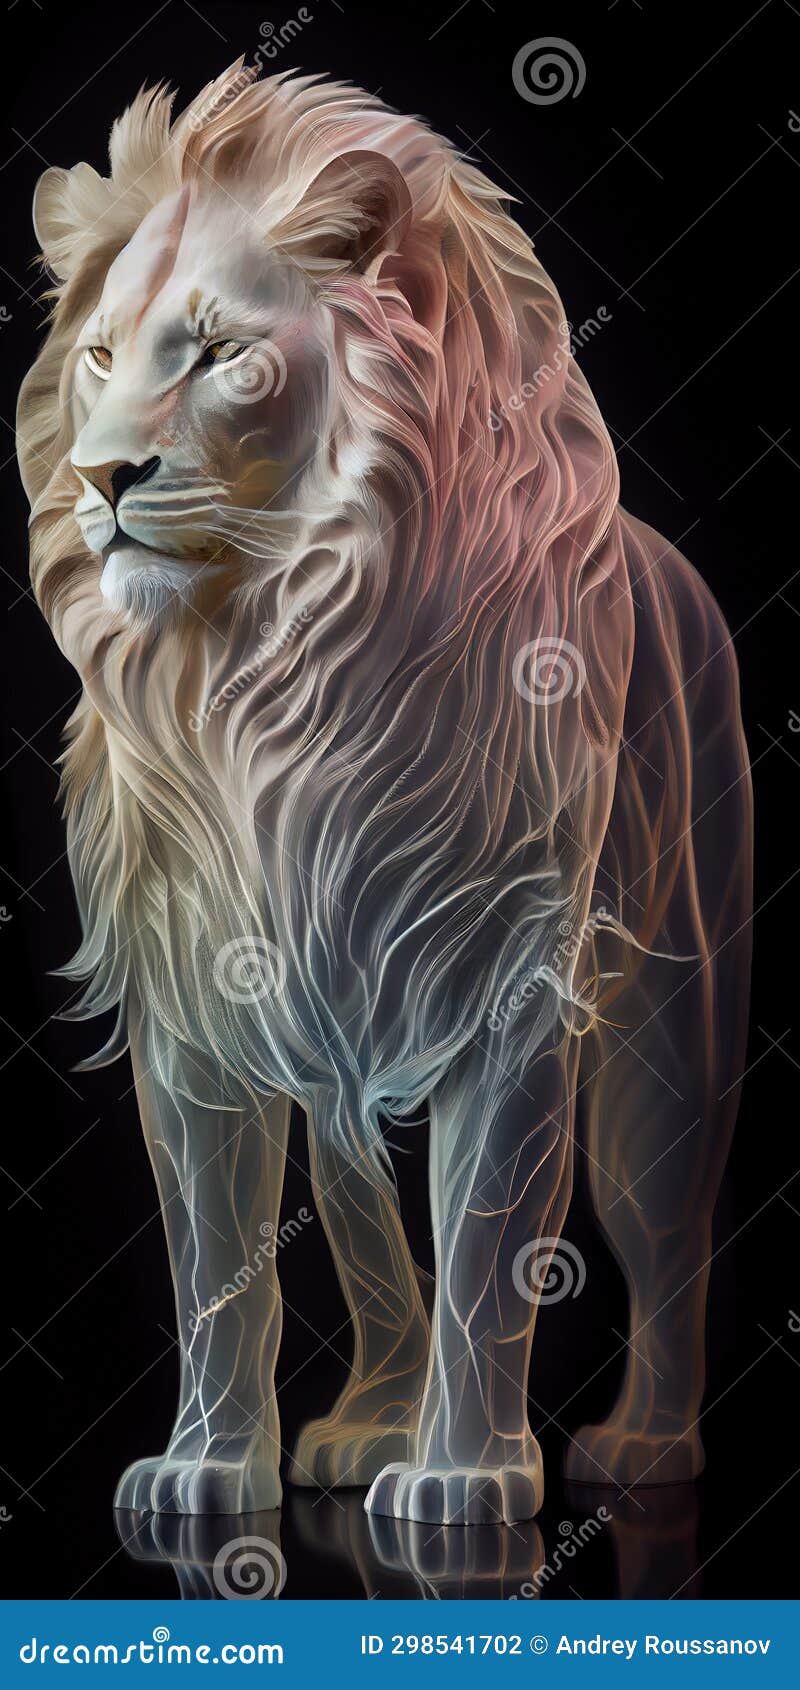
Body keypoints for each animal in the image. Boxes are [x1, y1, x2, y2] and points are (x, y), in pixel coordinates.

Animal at [17, 66, 752, 1526]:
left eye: (217, 352)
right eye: (100, 358)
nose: (101, 478)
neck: (276, 668)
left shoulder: (518, 981)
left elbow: (487, 1245)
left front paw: (468, 1480)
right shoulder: (198, 1001)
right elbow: (218, 1267)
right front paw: (207, 1467)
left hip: (672, 1031)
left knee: (664, 1231)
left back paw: (644, 1444)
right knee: (357, 1214)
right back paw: (366, 1423)